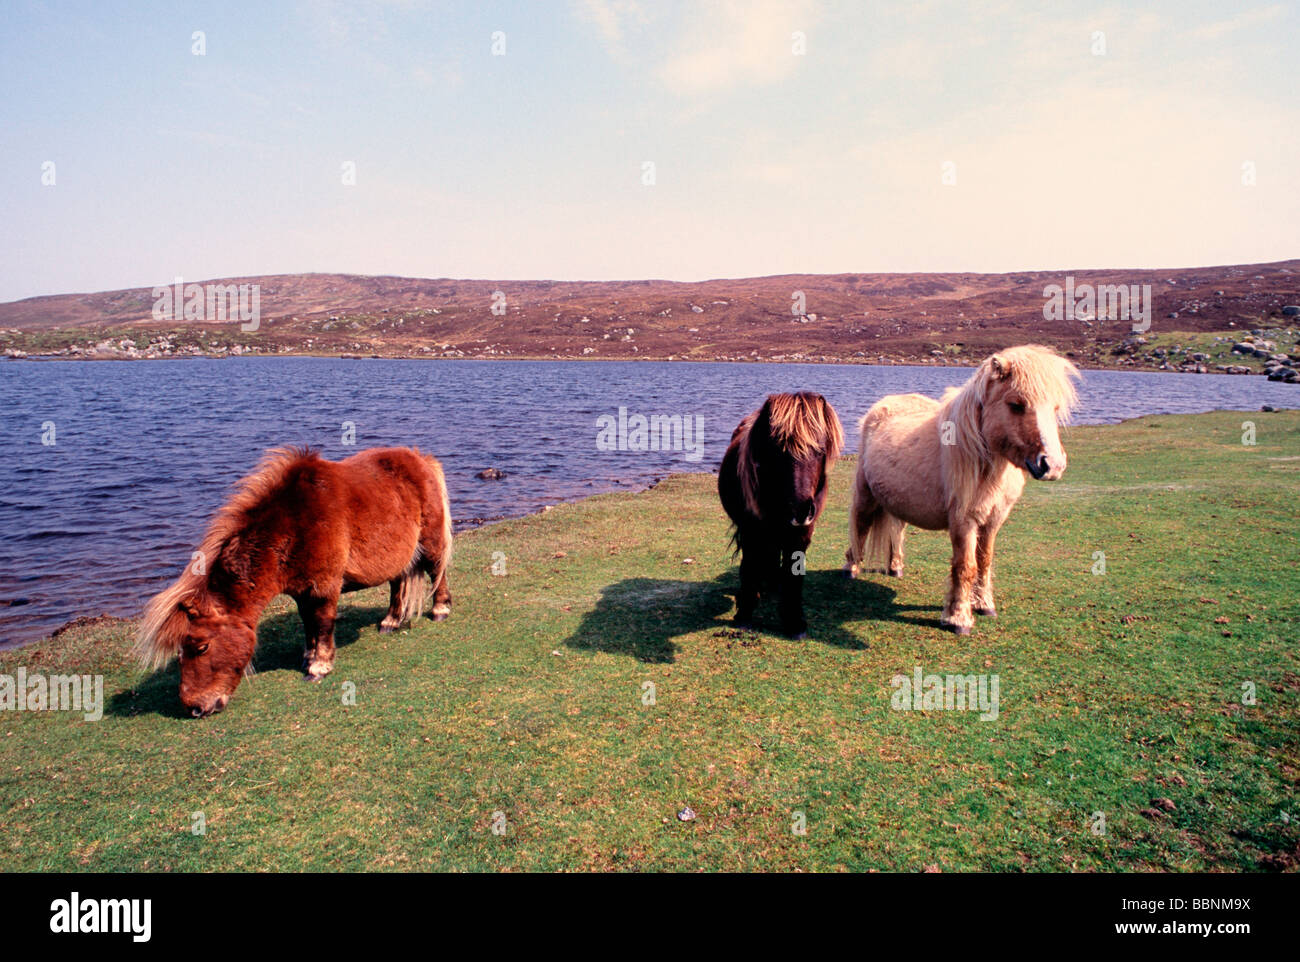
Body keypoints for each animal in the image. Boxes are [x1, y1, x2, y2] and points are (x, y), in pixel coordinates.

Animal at [135, 446, 453, 716]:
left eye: (201, 647)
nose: (194, 708)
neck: (295, 522)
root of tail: (421, 459)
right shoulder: (303, 592)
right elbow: (308, 624)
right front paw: (308, 657)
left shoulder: (325, 587)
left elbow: (323, 624)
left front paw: (319, 667)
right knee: (398, 583)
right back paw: (391, 621)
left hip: (430, 542)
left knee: (438, 571)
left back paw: (440, 610)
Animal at [718, 392, 844, 638]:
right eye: (778, 451)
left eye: (820, 450)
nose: (800, 510)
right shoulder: (751, 531)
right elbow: (749, 566)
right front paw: (744, 614)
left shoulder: (802, 535)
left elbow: (794, 574)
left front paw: (794, 621)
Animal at [843, 345, 1080, 635]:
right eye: (1016, 405)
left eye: (1055, 408)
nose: (1053, 466)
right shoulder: (963, 521)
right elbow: (965, 566)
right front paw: (958, 619)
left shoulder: (993, 520)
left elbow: (984, 561)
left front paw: (985, 605)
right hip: (866, 495)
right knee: (860, 526)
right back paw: (851, 568)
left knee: (896, 530)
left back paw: (895, 567)